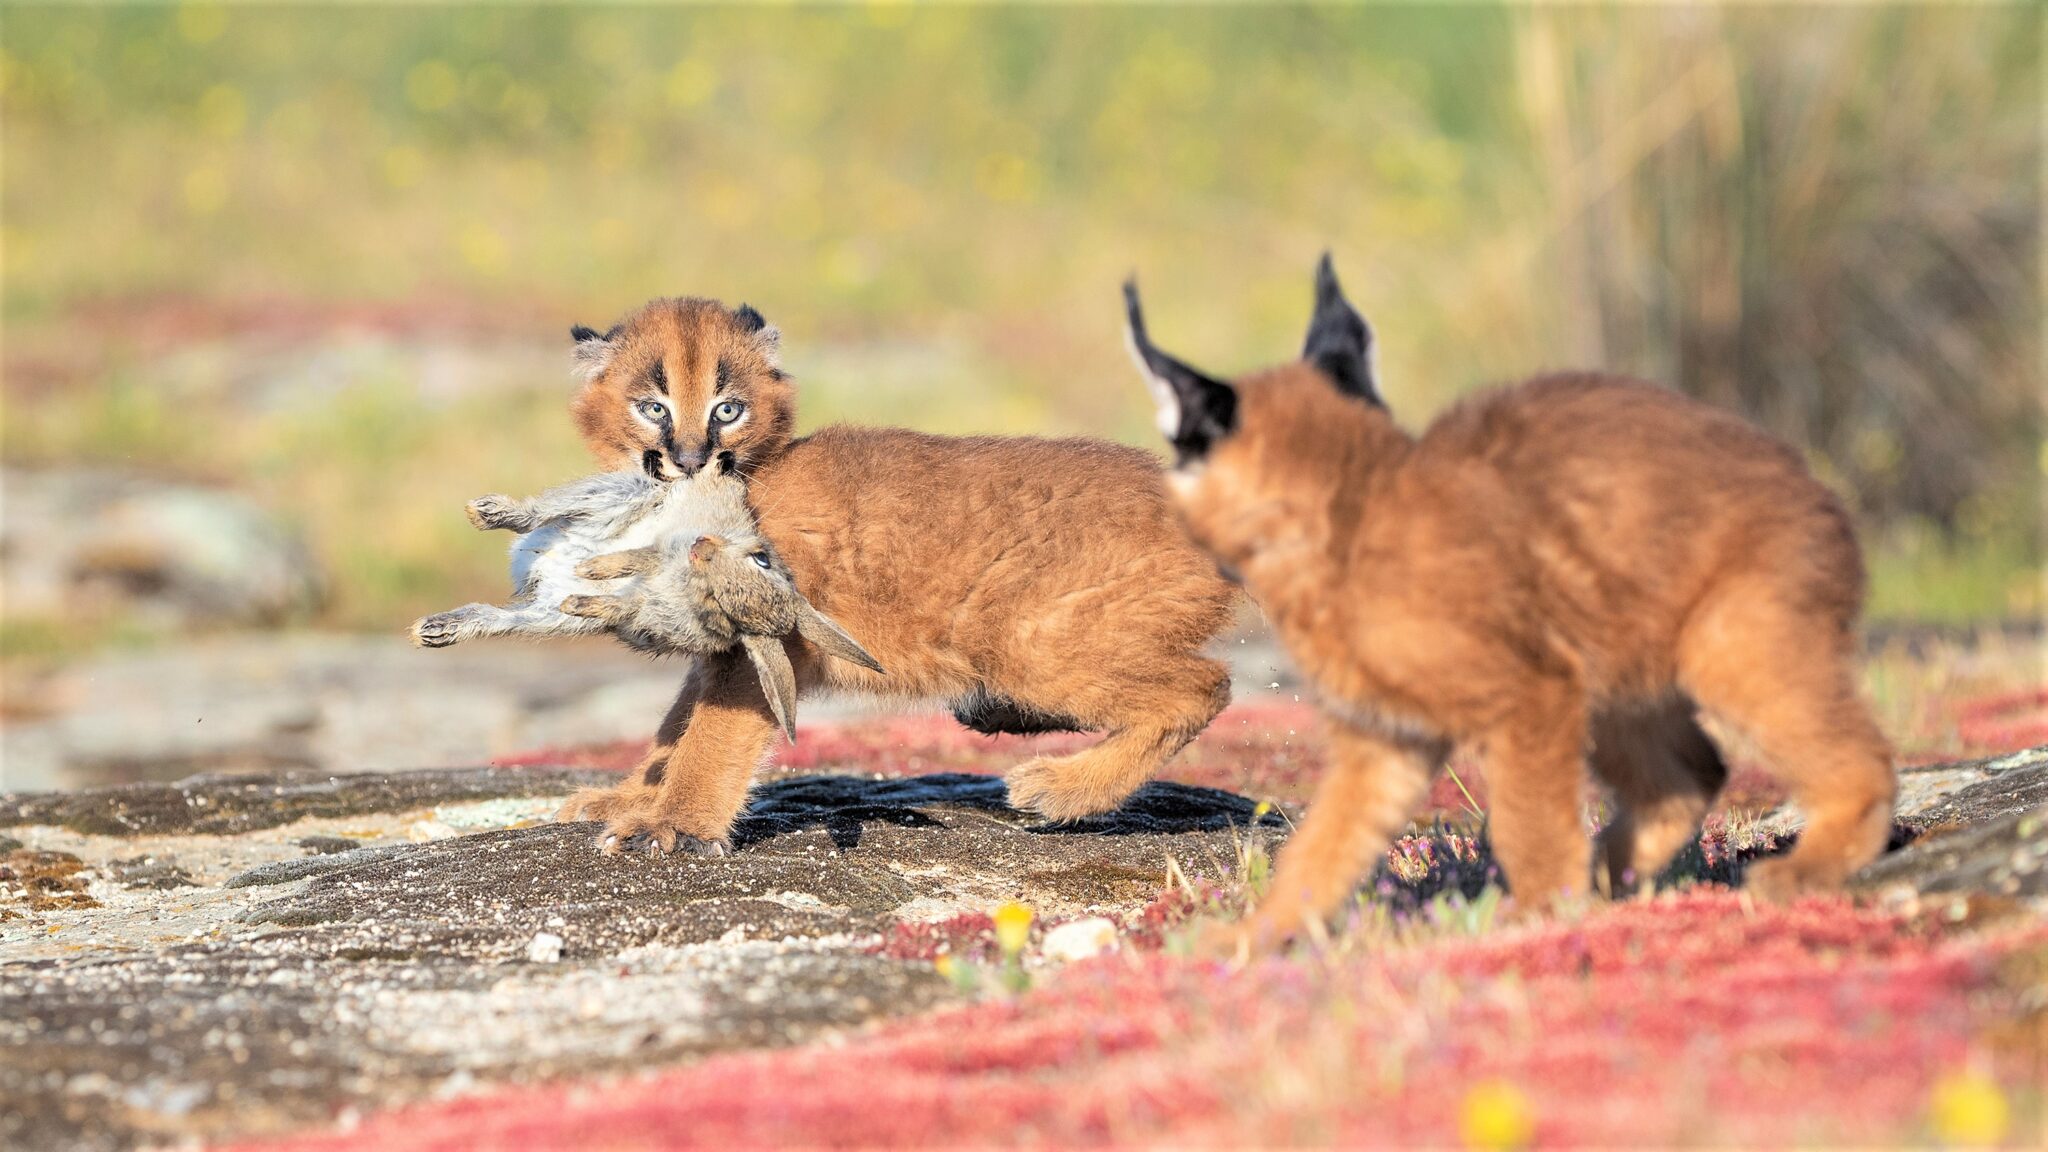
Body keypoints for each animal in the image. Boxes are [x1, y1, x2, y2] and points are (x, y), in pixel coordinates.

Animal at [409, 466, 880, 741]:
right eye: (761, 557)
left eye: (723, 604)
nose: (702, 548)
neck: (688, 581)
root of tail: (533, 561)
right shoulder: (670, 546)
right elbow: (641, 557)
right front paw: (595, 570)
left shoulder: (657, 615)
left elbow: (630, 604)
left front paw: (589, 594)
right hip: (623, 491)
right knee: (542, 510)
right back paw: (490, 513)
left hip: (542, 616)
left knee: (495, 616)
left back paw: (434, 630)